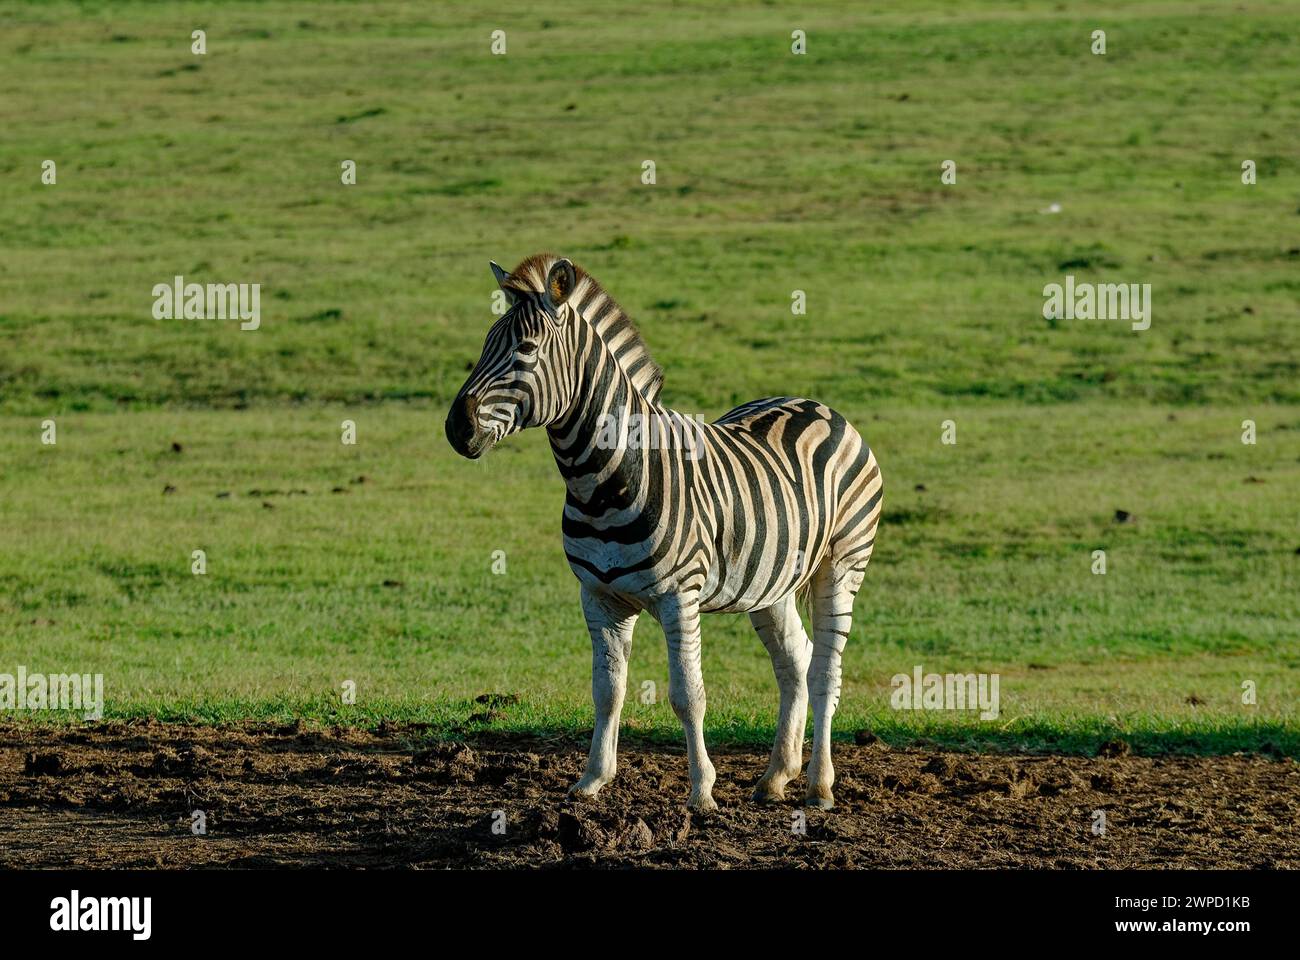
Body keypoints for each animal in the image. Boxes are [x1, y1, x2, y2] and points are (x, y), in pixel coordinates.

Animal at [446, 254, 883, 812]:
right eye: (485, 344)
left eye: (526, 349)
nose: (456, 428)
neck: (601, 480)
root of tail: (819, 406)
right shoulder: (599, 597)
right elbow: (607, 690)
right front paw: (592, 780)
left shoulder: (680, 596)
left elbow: (687, 695)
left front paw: (701, 791)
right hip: (772, 583)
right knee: (795, 661)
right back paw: (775, 777)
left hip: (843, 563)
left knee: (826, 669)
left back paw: (819, 786)